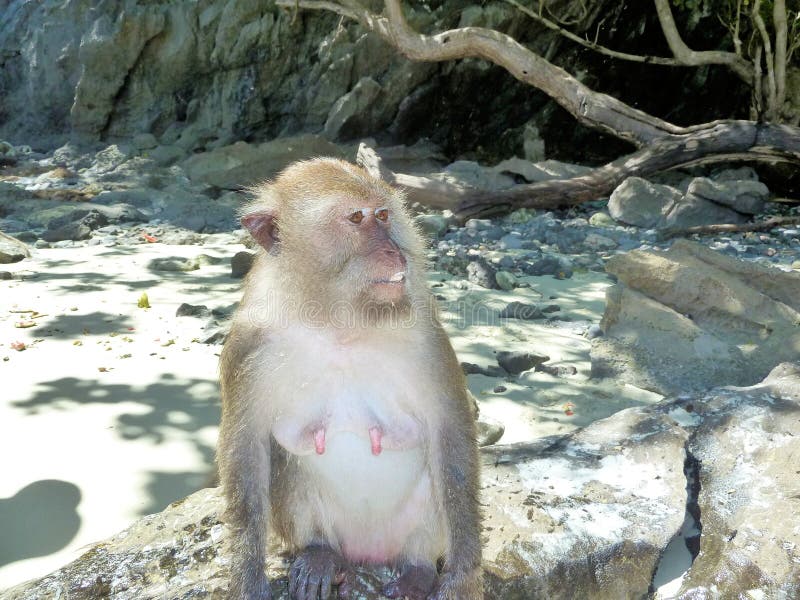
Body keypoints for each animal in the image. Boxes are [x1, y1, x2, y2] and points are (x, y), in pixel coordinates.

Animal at [217, 158, 483, 600]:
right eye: (356, 218)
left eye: (384, 215)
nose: (394, 251)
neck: (335, 321)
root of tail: (367, 555)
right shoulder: (248, 344)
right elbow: (246, 450)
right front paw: (248, 580)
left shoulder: (424, 331)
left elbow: (451, 431)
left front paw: (462, 577)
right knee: (285, 465)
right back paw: (321, 555)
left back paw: (417, 572)